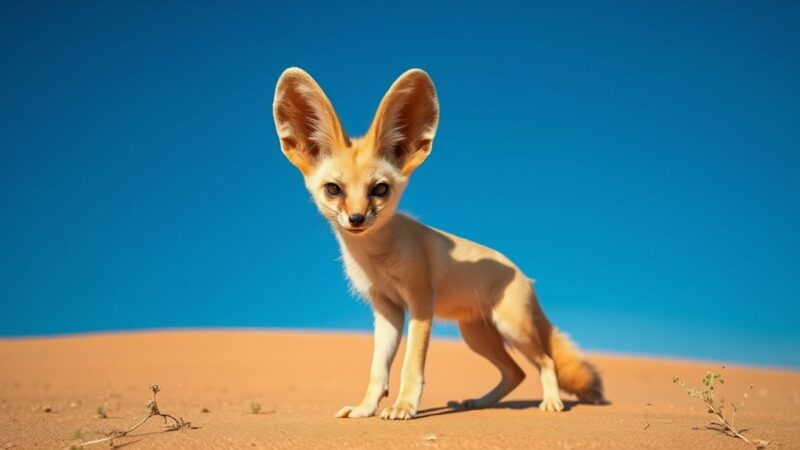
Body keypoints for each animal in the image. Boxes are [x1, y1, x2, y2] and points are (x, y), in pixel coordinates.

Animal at [271, 67, 604, 420]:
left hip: (512, 330)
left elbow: (411, 366)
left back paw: (552, 402)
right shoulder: (387, 308)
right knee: (516, 373)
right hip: (476, 337)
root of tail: (524, 276)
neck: (375, 256)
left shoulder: (420, 302)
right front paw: (366, 408)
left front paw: (404, 407)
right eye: (333, 189)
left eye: (380, 189)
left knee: (546, 361)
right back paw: (481, 403)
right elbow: (378, 370)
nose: (357, 219)